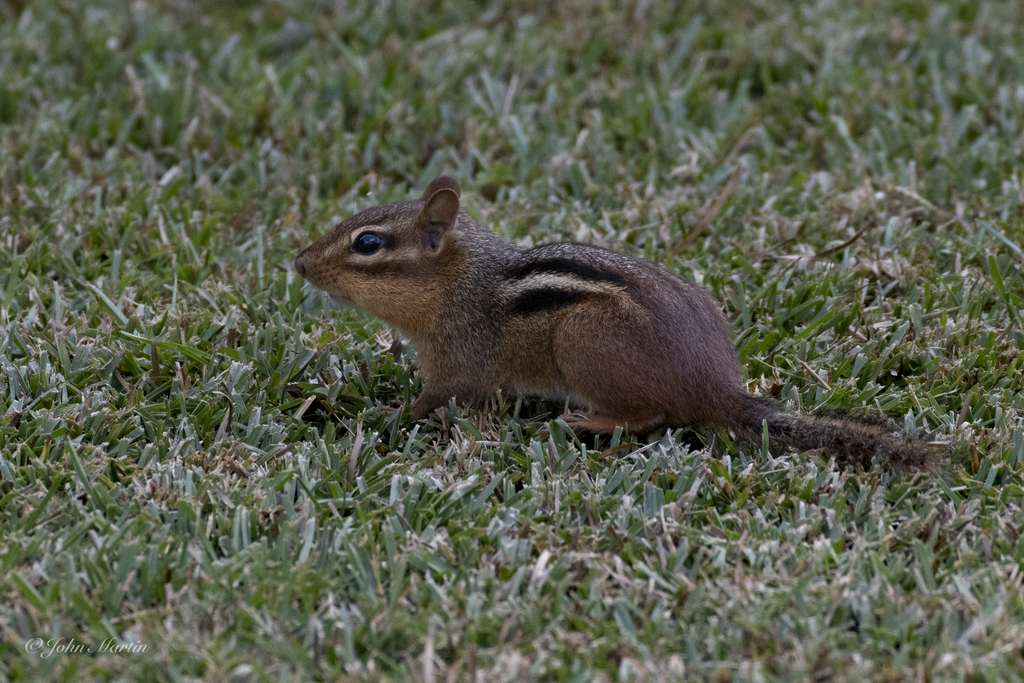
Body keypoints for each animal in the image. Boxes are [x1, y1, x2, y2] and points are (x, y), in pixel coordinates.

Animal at [294, 175, 945, 476]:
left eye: (368, 243)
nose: (297, 263)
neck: (463, 283)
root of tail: (717, 389)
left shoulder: (457, 358)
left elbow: (431, 400)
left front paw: (383, 412)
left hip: (583, 342)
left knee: (648, 417)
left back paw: (587, 420)